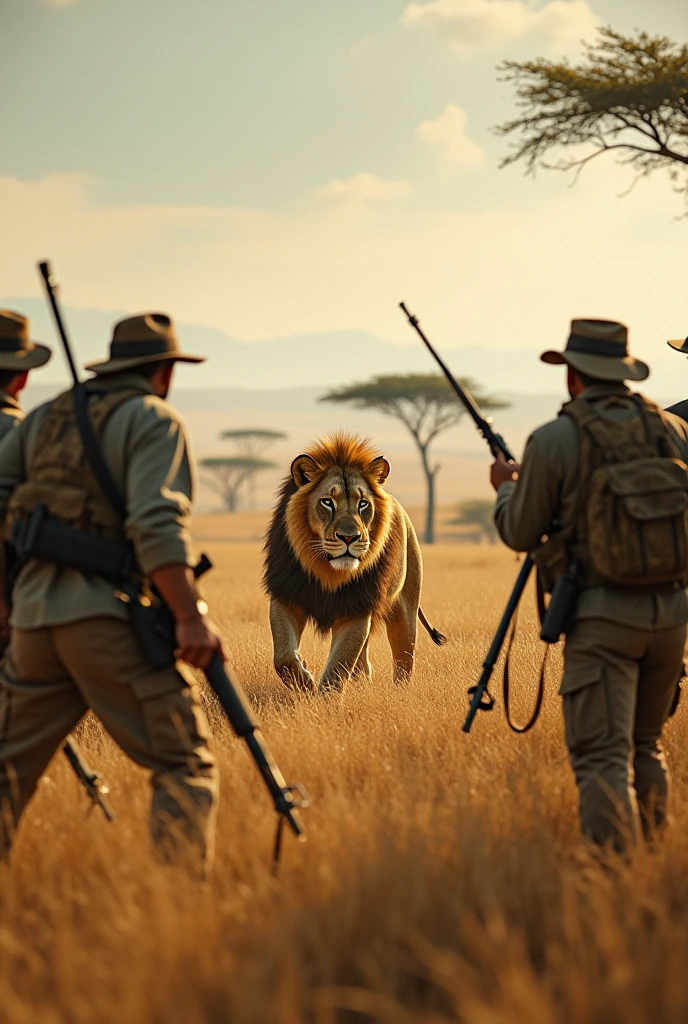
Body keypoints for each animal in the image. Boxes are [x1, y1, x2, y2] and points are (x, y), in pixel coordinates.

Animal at [263, 432, 446, 694]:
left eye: (363, 504)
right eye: (327, 502)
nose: (349, 538)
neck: (326, 570)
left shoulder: (357, 608)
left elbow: (338, 667)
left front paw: (323, 698)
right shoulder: (286, 596)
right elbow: (283, 656)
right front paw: (305, 682)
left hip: (405, 609)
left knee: (404, 660)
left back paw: (400, 693)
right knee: (364, 663)